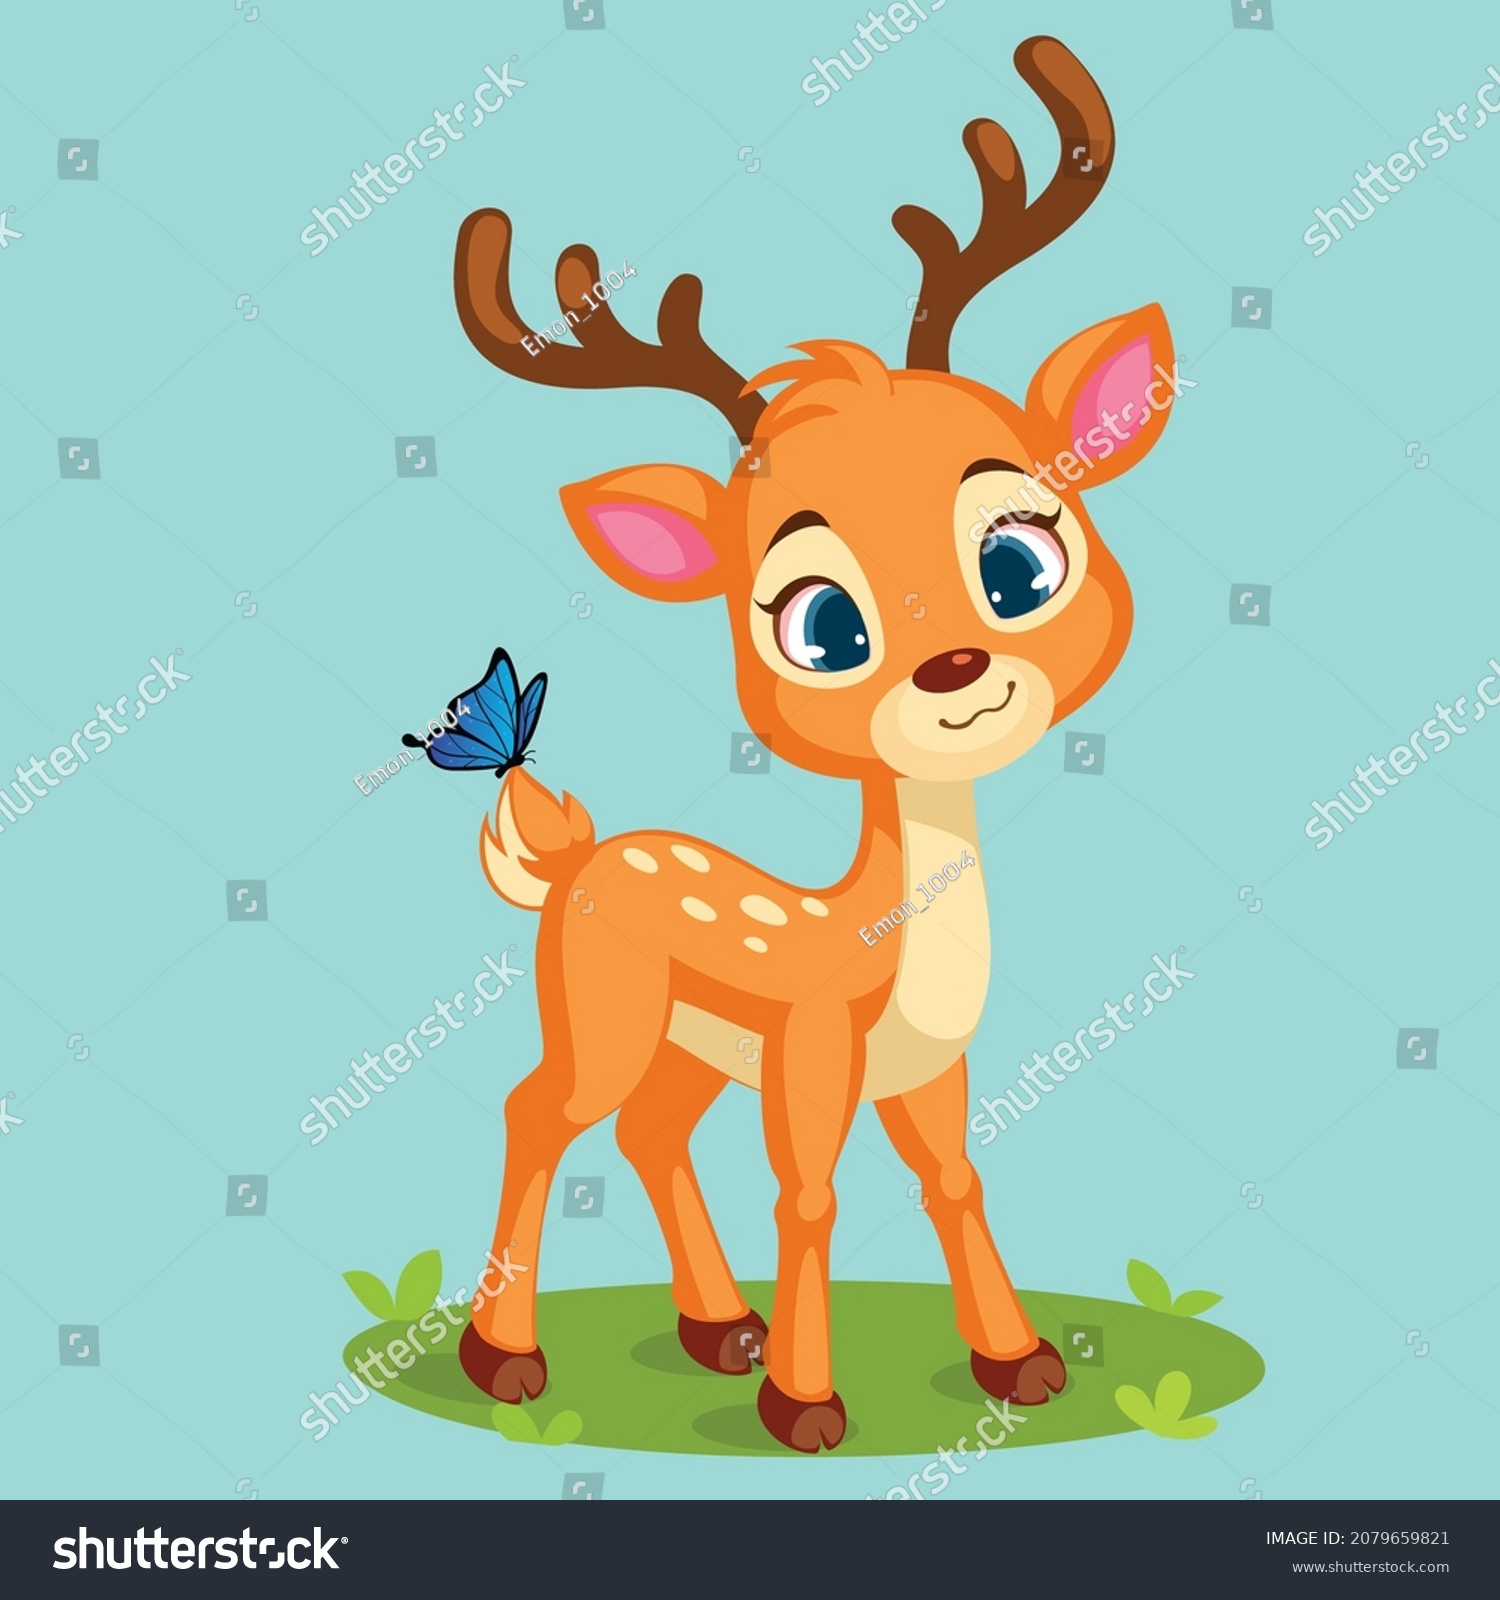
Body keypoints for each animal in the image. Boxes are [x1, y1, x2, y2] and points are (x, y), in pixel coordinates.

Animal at [449, 35, 1175, 1453]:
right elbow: (812, 1195)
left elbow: (955, 1177)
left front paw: (1017, 1364)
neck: (883, 945)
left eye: (1021, 556)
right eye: (821, 624)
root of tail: (573, 864)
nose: (954, 671)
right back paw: (505, 1358)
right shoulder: (811, 1055)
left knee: (648, 1134)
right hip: (606, 1014)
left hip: (684, 1053)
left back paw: (714, 1329)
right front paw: (806, 1402)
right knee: (536, 1112)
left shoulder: (929, 1071)